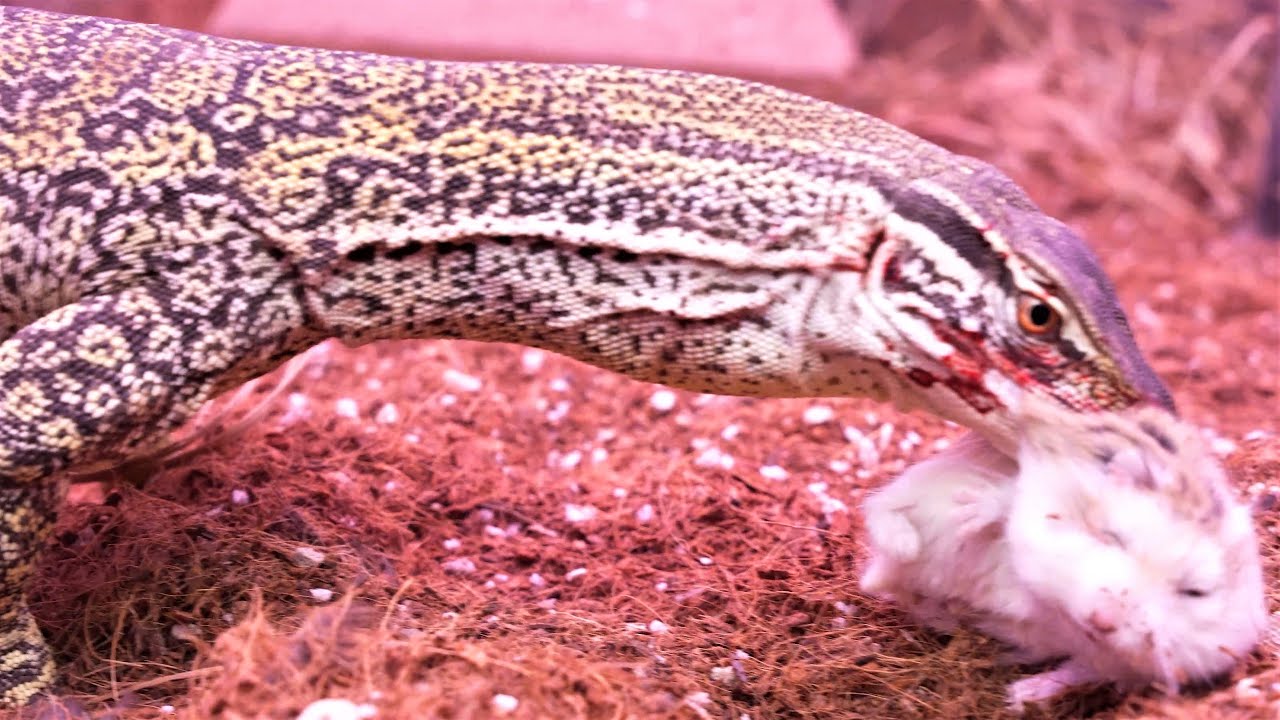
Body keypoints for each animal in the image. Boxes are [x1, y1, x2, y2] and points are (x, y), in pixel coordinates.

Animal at [859, 398, 1267, 711]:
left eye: (1195, 592)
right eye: (1111, 537)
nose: (1102, 621)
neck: (1057, 608)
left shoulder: (1123, 661)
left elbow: (1081, 670)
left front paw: (1017, 695)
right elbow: (1011, 497)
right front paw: (971, 513)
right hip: (921, 488)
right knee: (883, 514)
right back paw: (906, 548)